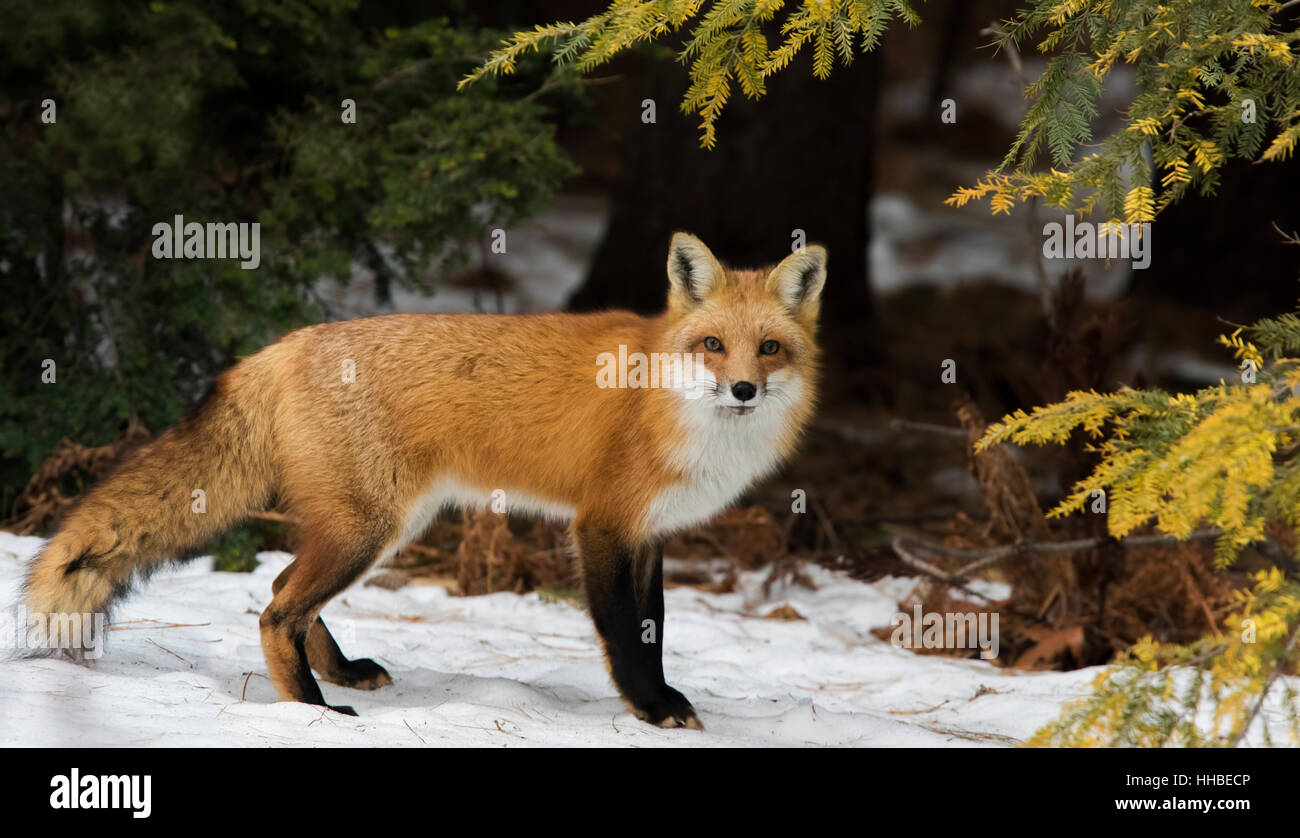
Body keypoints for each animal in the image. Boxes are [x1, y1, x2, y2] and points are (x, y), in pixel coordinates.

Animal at [20, 232, 827, 729]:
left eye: (769, 350)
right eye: (713, 344)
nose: (744, 390)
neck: (666, 400)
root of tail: (283, 345)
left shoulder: (651, 534)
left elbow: (655, 629)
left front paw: (660, 699)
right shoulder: (602, 526)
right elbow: (625, 636)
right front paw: (651, 709)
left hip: (378, 528)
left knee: (282, 588)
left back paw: (341, 674)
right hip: (368, 530)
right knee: (276, 612)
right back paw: (315, 711)